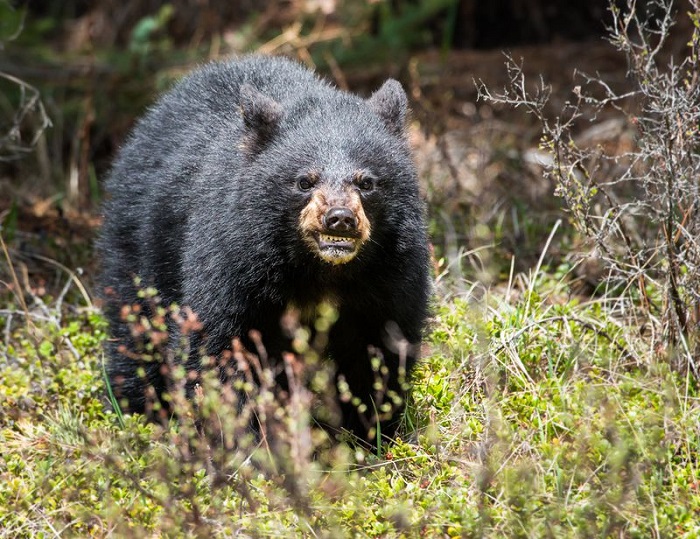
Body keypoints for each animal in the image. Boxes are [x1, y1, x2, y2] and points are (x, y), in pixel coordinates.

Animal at [98, 55, 431, 446]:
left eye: (366, 182)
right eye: (304, 180)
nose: (339, 219)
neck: (321, 271)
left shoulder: (391, 272)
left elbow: (380, 349)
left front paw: (370, 434)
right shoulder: (232, 259)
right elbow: (223, 346)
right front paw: (244, 439)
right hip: (140, 243)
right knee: (134, 331)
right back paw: (138, 413)